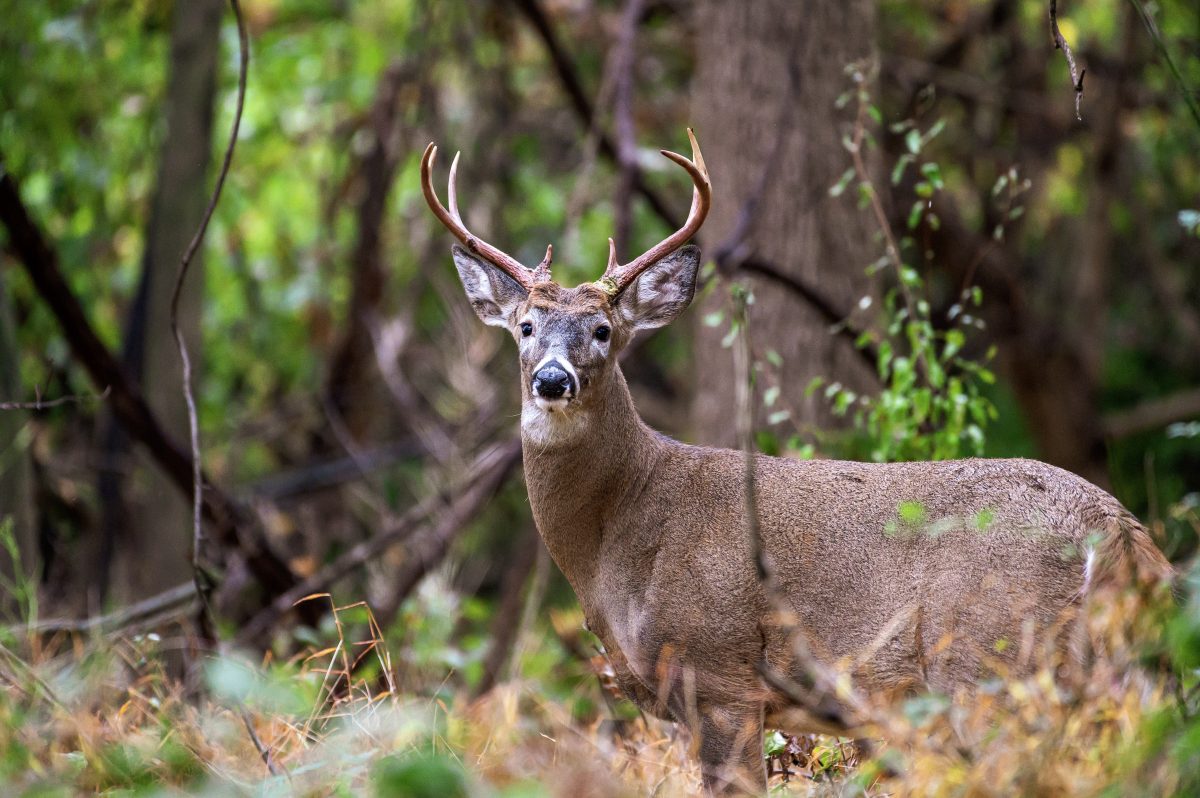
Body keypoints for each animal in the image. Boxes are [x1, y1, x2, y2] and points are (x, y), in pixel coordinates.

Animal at [419, 130, 1173, 795]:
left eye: (603, 331)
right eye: (524, 328)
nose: (553, 380)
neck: (620, 535)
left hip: (992, 657)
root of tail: (1118, 530)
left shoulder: (721, 673)